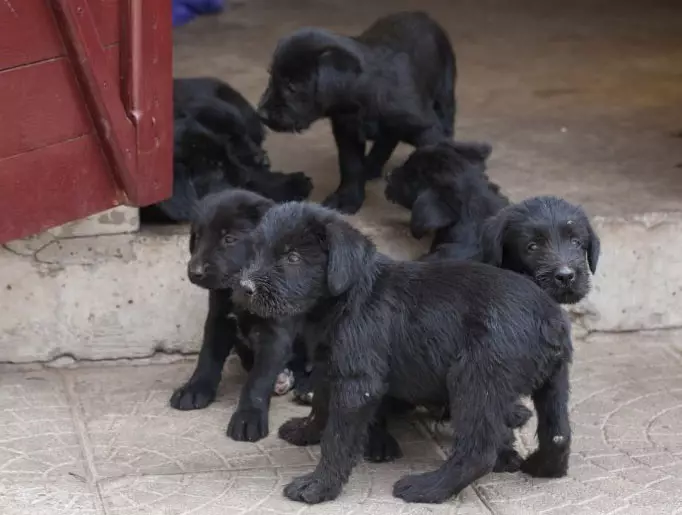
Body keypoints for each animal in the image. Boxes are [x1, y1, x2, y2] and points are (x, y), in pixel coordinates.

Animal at [169, 189, 310, 444]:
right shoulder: (218, 321)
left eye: (229, 239)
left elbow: (258, 379)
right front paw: (194, 389)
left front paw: (248, 417)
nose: (195, 272)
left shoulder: (275, 334)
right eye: (198, 236)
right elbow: (207, 358)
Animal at [231, 202, 572, 504]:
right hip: (553, 383)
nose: (244, 289)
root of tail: (550, 319)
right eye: (257, 251)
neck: (348, 295)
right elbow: (321, 408)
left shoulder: (358, 383)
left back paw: (427, 488)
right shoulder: (331, 367)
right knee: (559, 434)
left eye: (292, 257)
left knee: (478, 451)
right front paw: (305, 431)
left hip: (476, 380)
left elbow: (338, 440)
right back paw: (542, 466)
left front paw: (318, 486)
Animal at [258, 11, 454, 214]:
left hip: (444, 96)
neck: (362, 95)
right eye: (271, 77)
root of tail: (422, 15)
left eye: (292, 86)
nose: (261, 114)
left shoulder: (425, 128)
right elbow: (351, 165)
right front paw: (347, 198)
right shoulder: (347, 132)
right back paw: (371, 166)